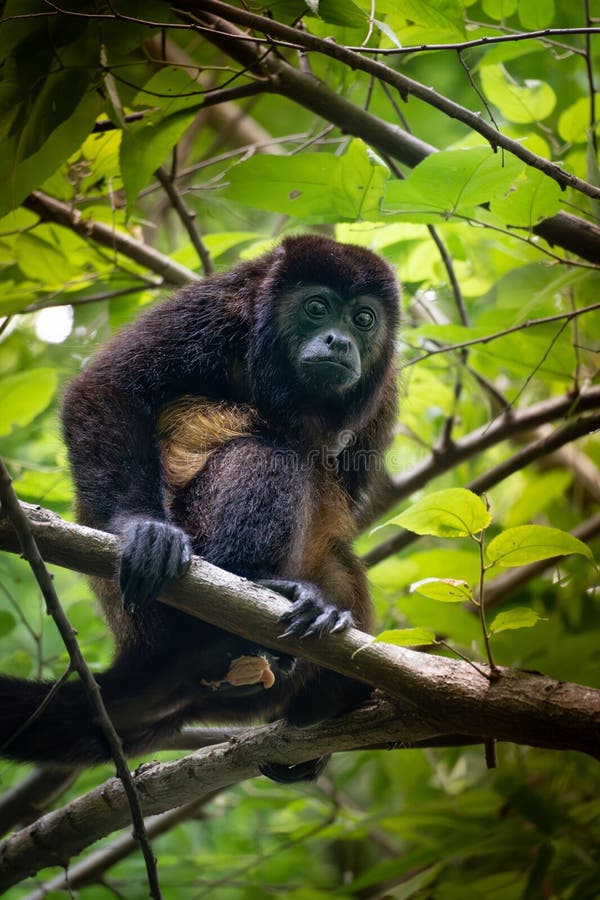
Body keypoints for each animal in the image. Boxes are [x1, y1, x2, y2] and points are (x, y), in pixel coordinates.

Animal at [0, 235, 399, 783]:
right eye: (317, 308)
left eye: (363, 319)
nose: (339, 341)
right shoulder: (214, 308)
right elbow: (108, 386)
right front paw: (141, 528)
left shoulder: (383, 388)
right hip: (154, 611)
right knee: (265, 454)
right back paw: (251, 592)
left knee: (337, 560)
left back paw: (323, 684)